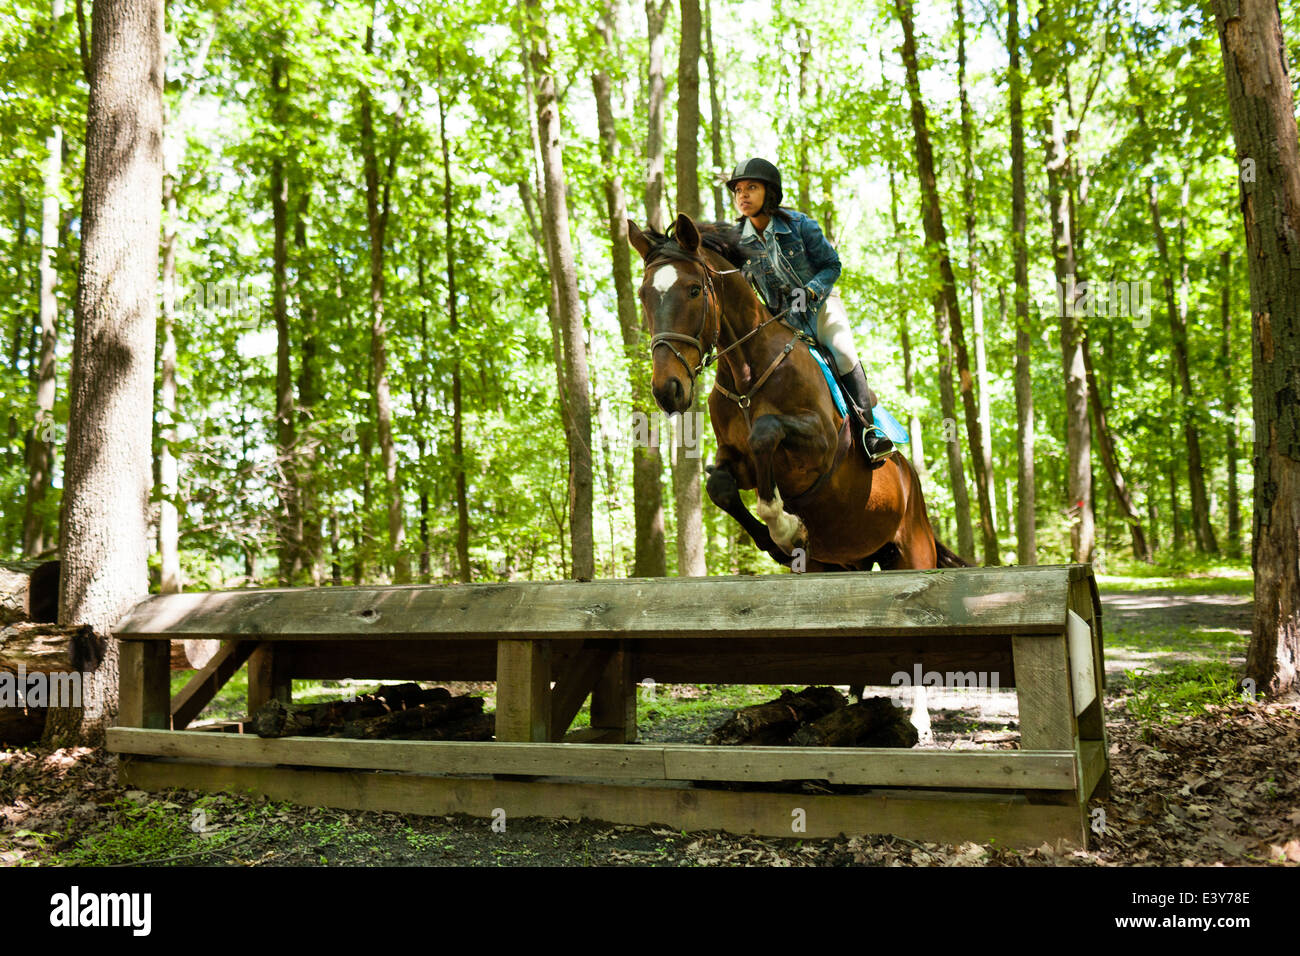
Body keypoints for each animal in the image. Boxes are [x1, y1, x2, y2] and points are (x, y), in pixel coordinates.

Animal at [628, 212, 964, 575]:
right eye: (643, 295)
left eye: (693, 290)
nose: (667, 390)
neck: (746, 376)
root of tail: (910, 479)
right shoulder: (735, 458)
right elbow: (719, 487)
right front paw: (773, 541)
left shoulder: (823, 443)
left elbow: (765, 432)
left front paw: (786, 530)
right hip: (840, 562)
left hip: (912, 549)